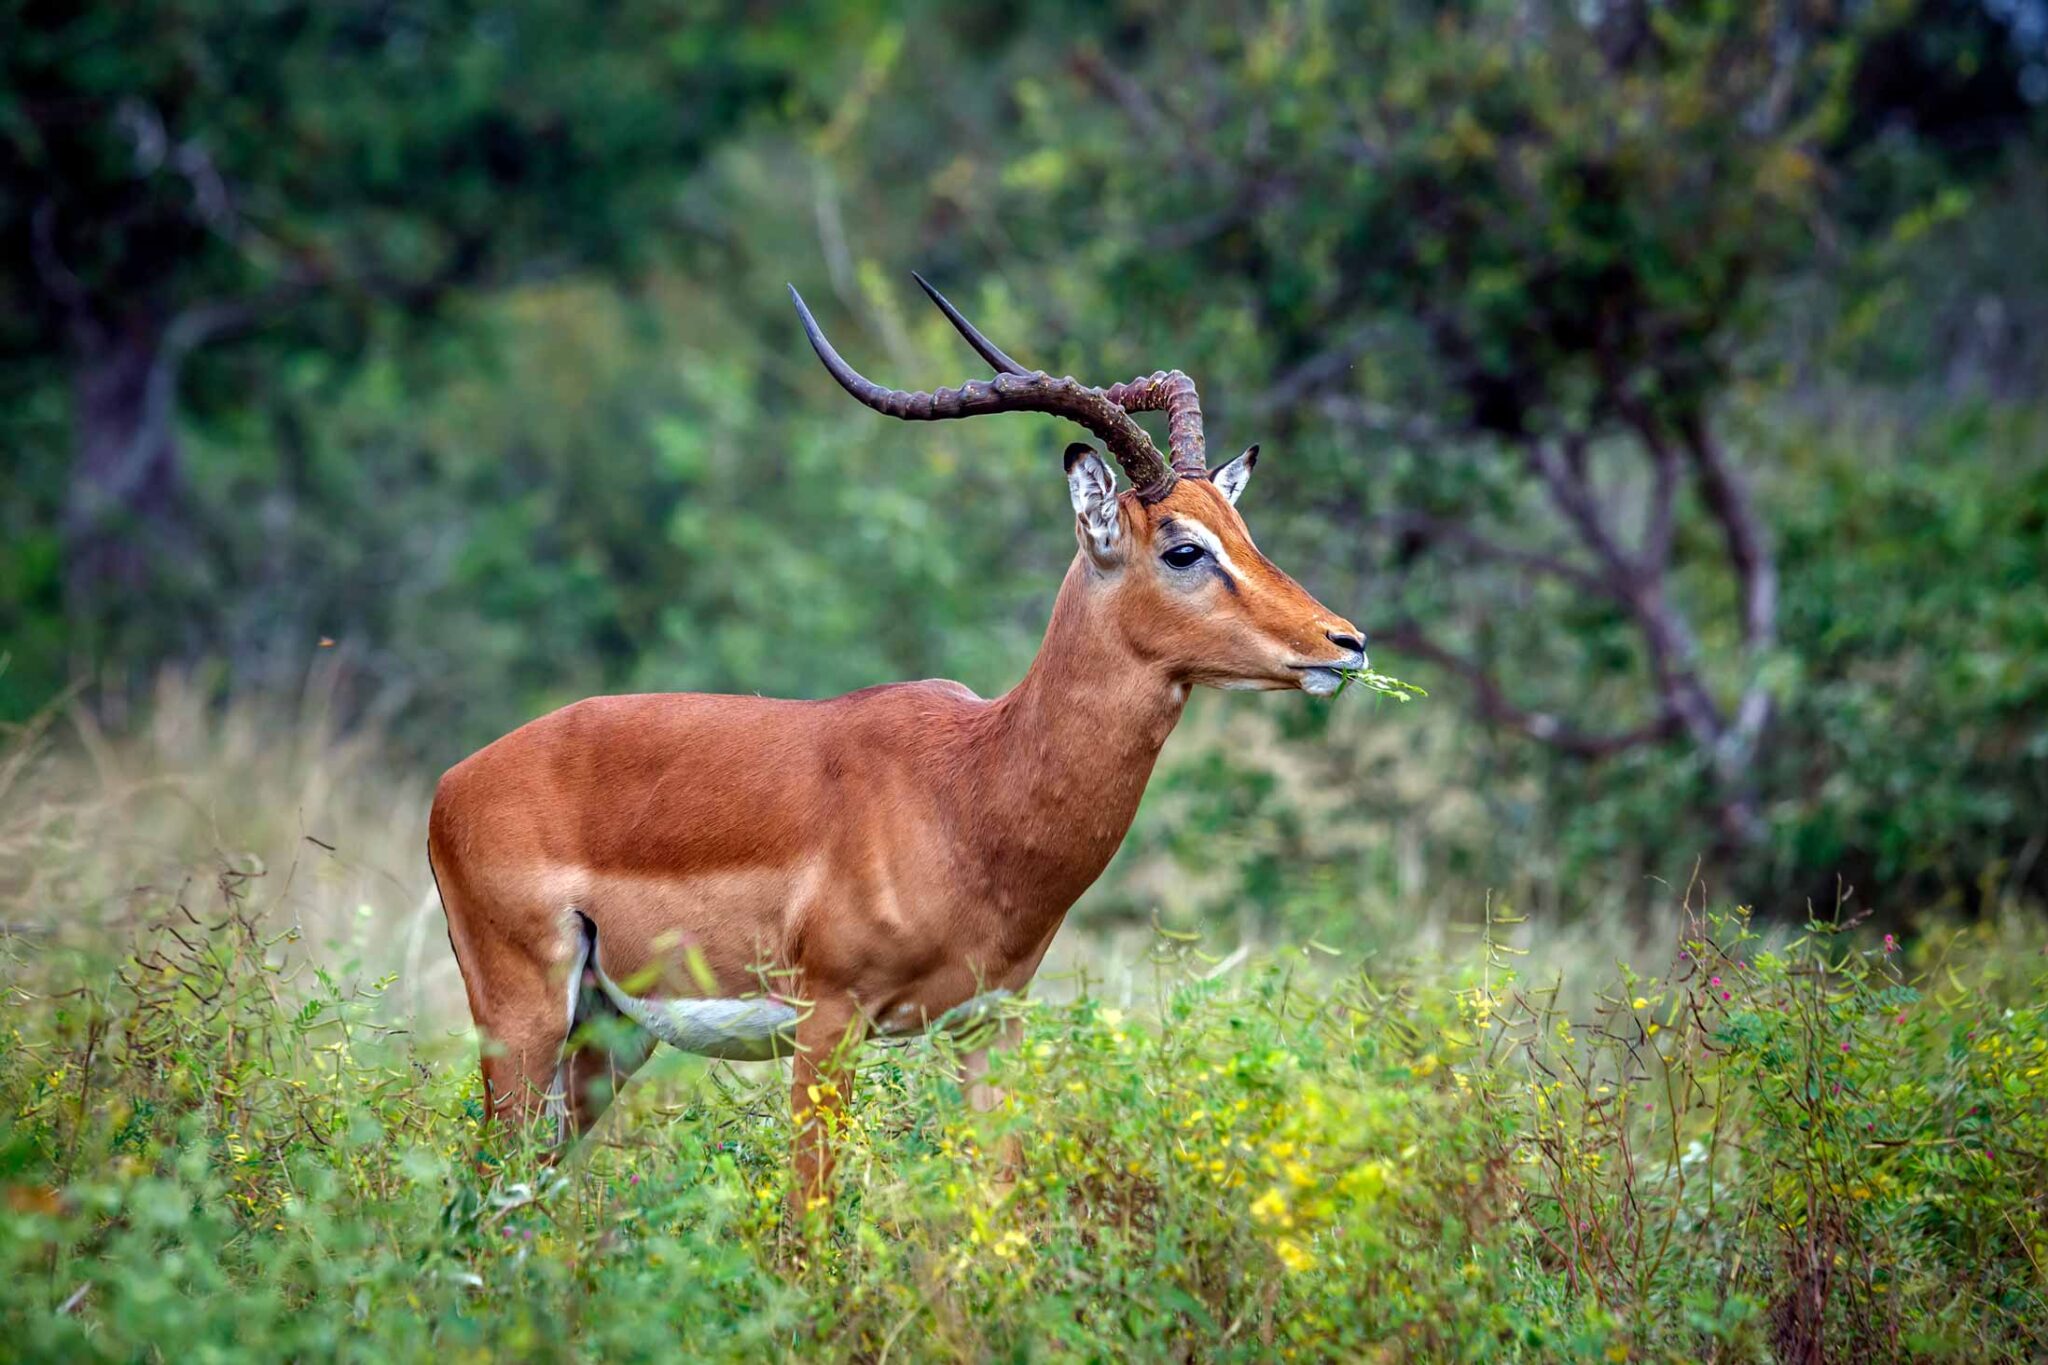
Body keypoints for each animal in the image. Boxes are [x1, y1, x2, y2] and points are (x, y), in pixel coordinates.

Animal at [427, 275, 1367, 1209]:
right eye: (1184, 549)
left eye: (1244, 534)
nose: (1346, 642)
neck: (973, 790)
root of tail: (453, 783)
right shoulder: (830, 1024)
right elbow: (808, 1217)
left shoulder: (990, 1023)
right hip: (525, 1021)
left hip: (609, 1034)